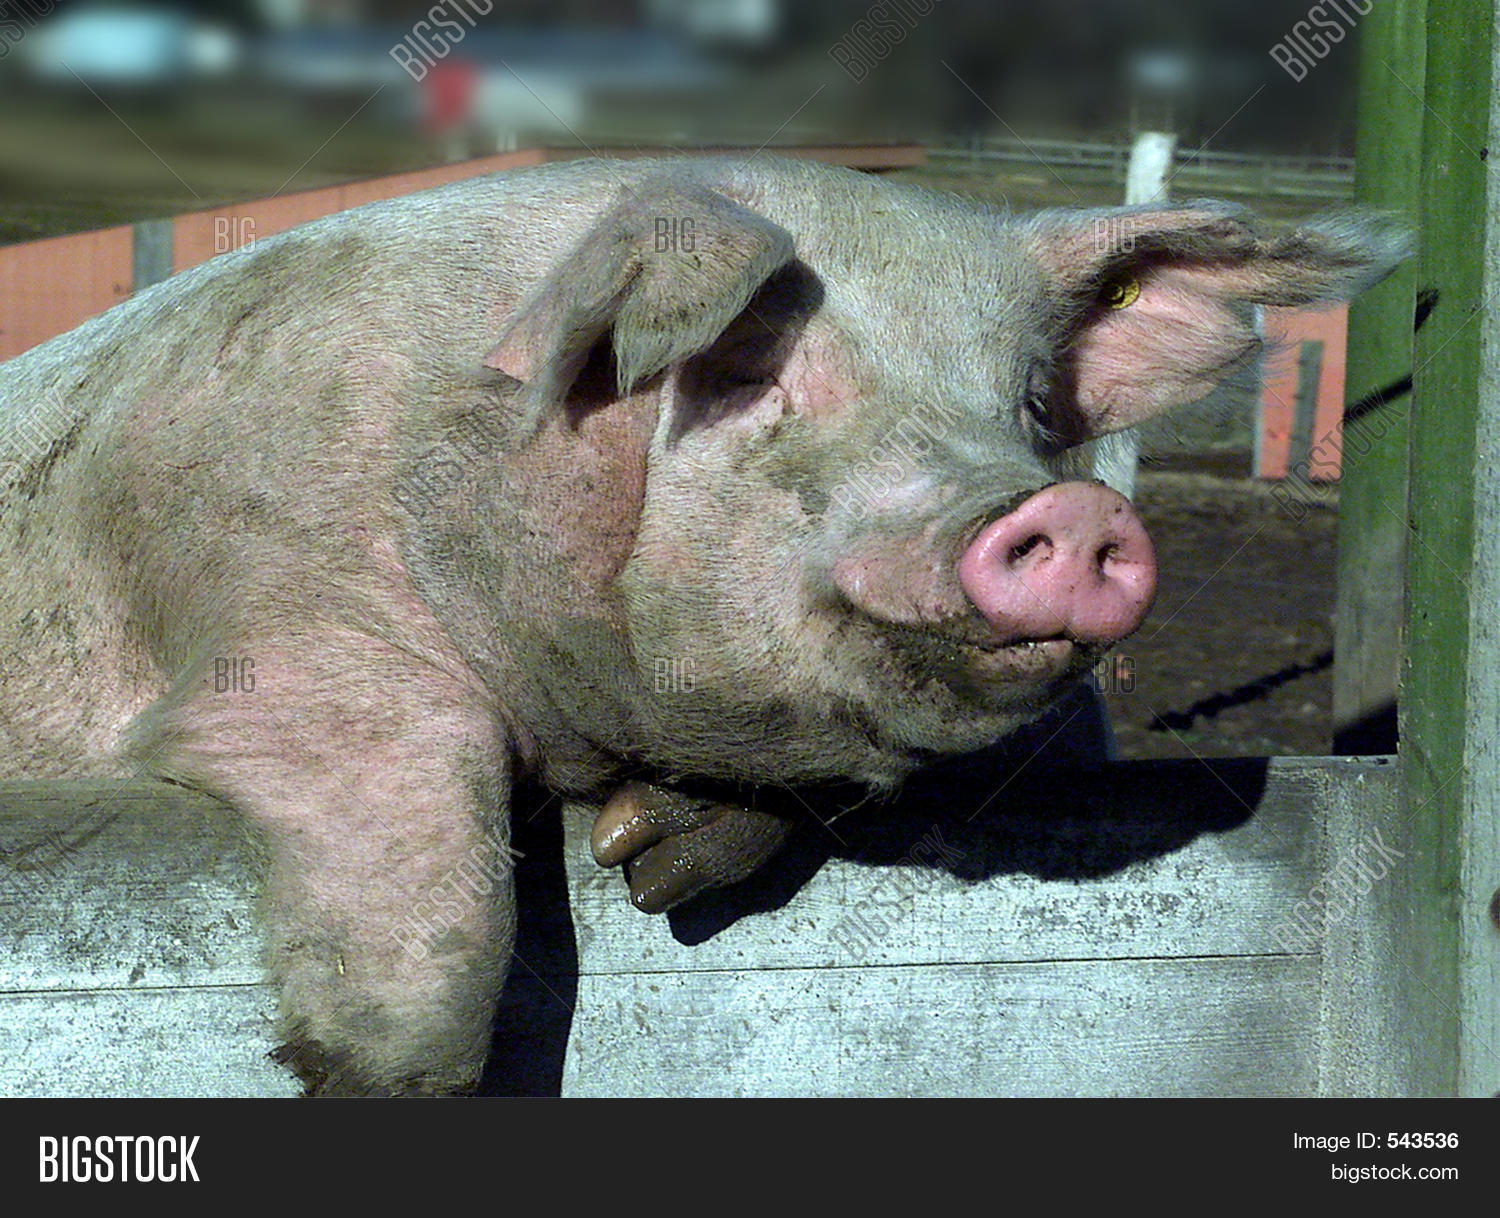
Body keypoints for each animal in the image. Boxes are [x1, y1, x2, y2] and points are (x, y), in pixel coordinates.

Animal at [0, 155, 1404, 1094]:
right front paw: (356, 1072)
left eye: (1023, 404)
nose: (1064, 506)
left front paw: (646, 857)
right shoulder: (257, 599)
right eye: (750, 374)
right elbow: (405, 808)